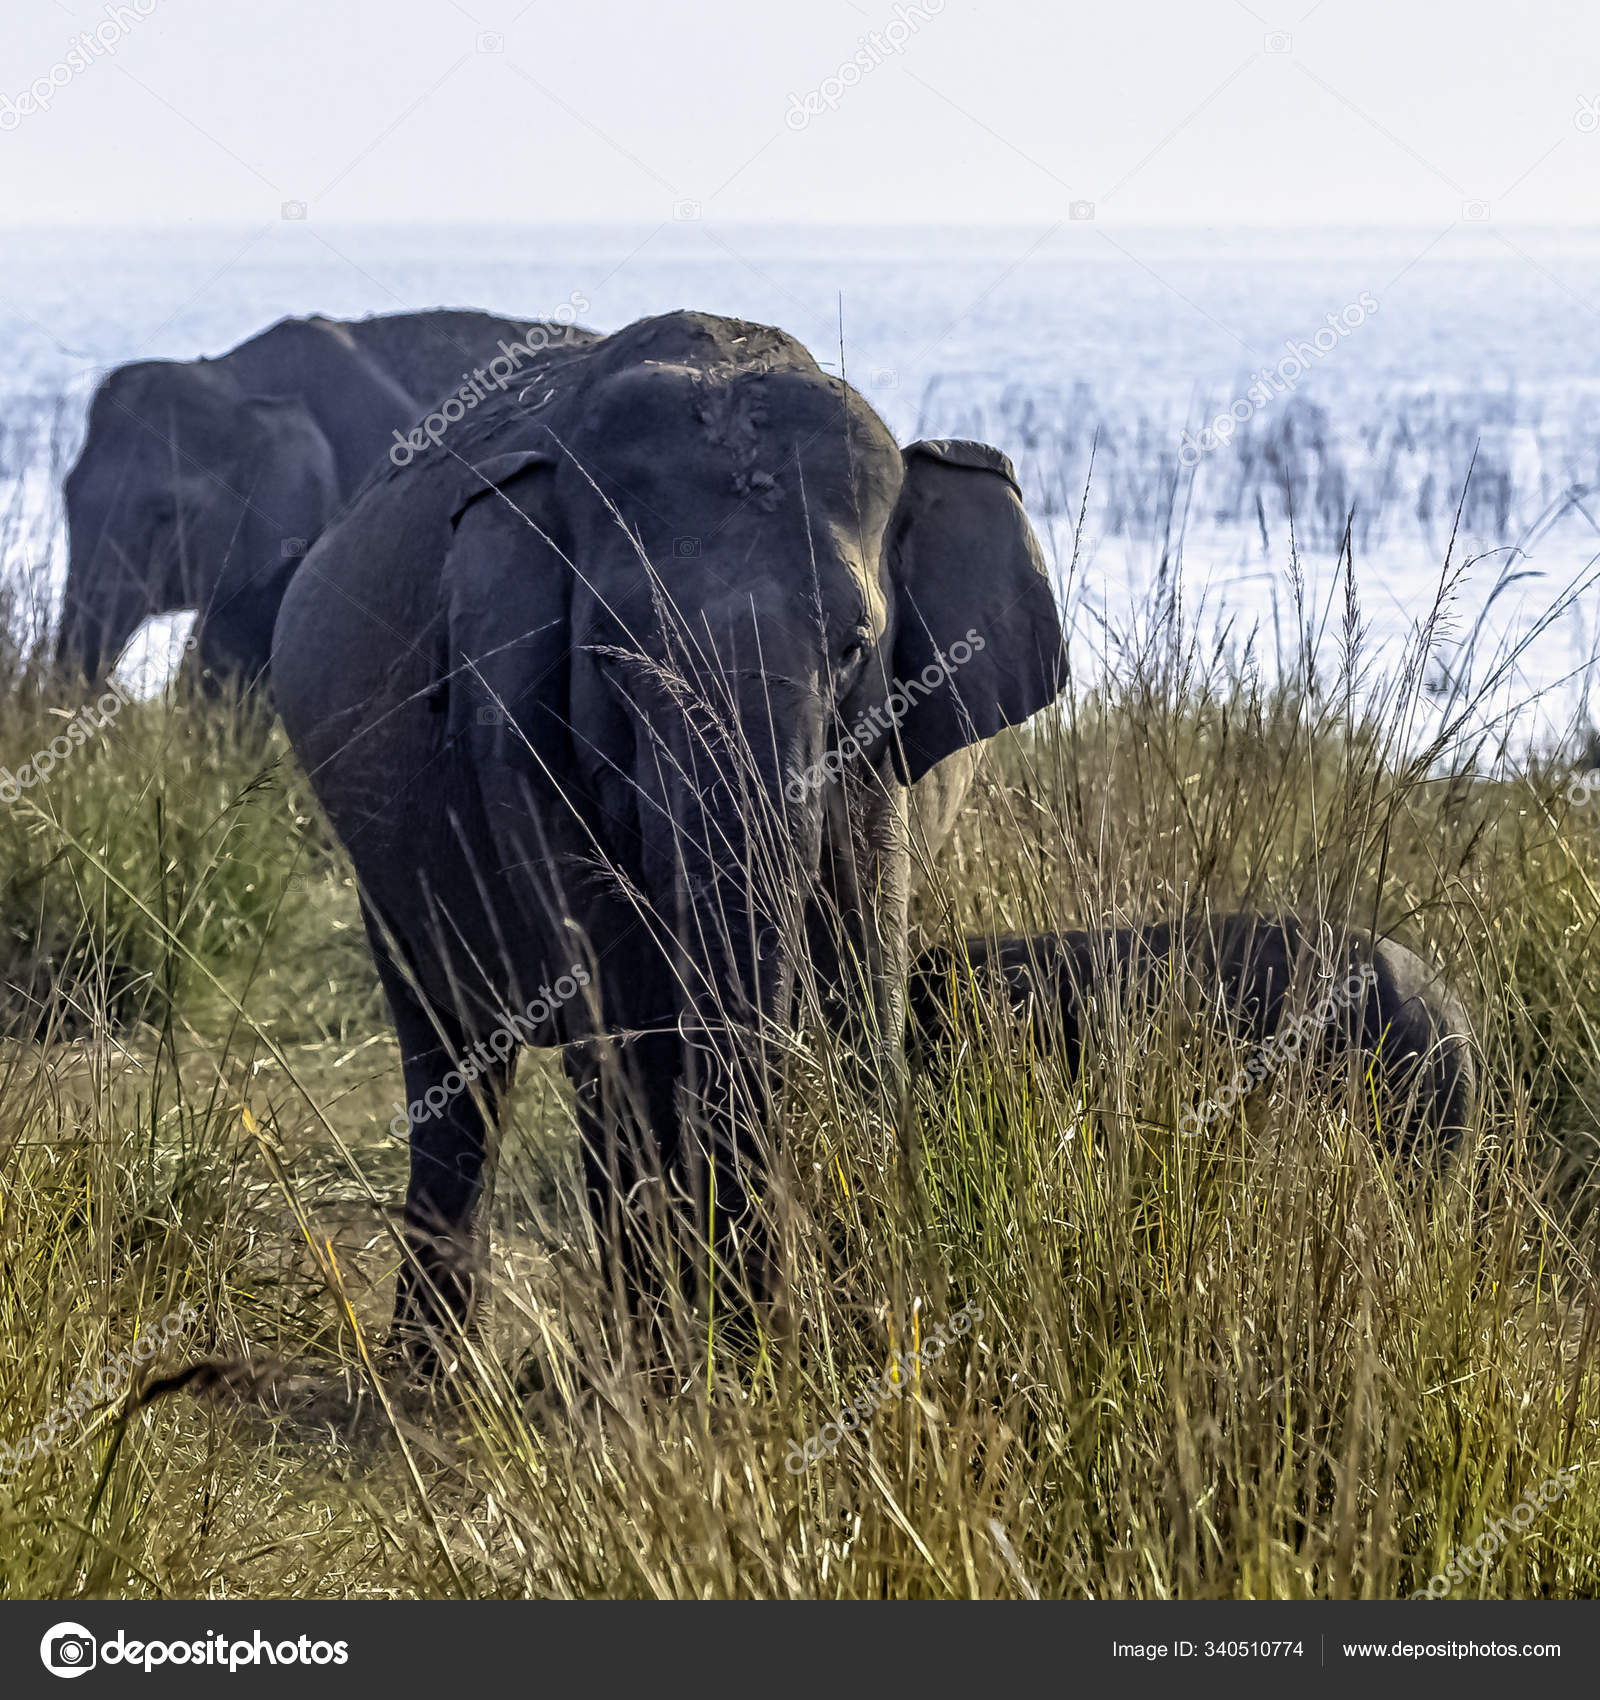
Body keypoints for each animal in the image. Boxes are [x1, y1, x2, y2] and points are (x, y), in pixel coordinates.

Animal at [270, 309, 1068, 1361]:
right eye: (612, 654)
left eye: (853, 648)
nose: (760, 1326)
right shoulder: (518, 730)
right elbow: (619, 1017)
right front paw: (679, 1367)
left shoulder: (883, 750)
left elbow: (863, 989)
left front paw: (854, 1338)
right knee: (454, 1062)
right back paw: (434, 1369)